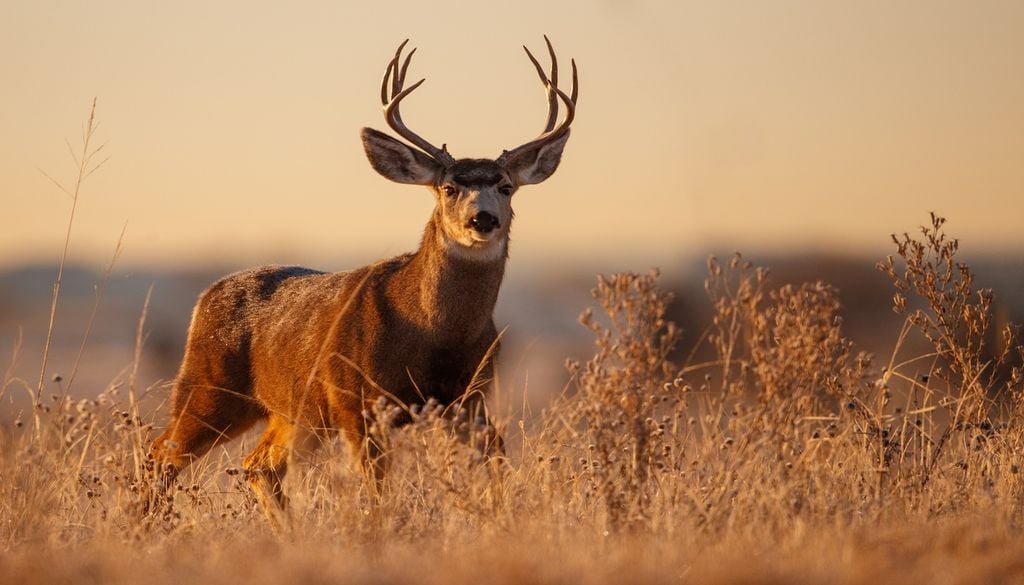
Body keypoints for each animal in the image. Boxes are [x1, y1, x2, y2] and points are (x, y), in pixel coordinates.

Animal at [148, 37, 578, 515]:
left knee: (258, 466)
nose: (482, 219)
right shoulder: (357, 399)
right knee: (162, 452)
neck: (434, 334)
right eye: (448, 188)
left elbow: (496, 460)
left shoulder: (469, 400)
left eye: (505, 186)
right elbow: (375, 486)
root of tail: (205, 297)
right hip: (208, 387)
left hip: (294, 411)